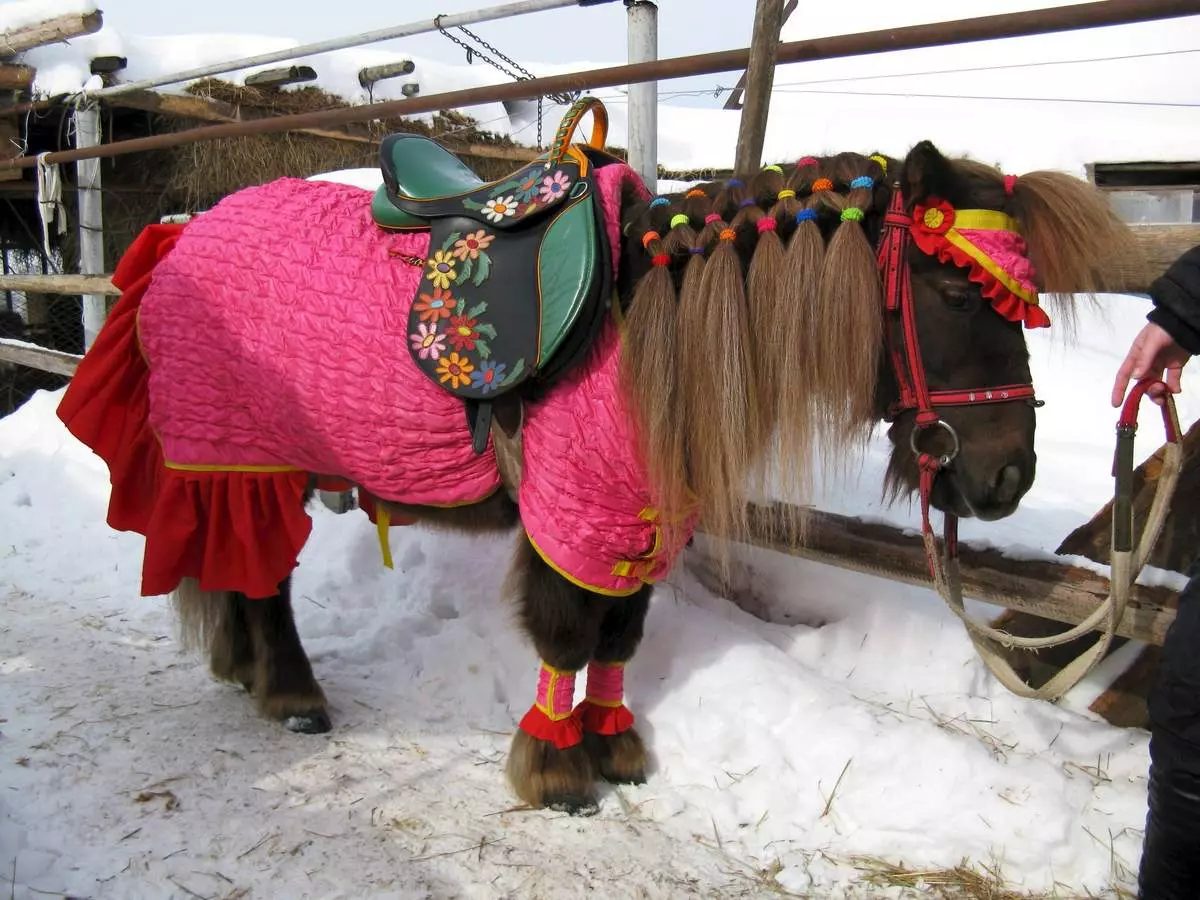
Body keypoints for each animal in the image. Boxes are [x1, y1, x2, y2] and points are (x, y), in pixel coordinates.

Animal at [56, 107, 1132, 816]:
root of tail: (180, 230)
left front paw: (615, 749)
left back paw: (246, 672)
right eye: (954, 293)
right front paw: (555, 770)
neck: (650, 340)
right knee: (263, 577)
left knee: (240, 575)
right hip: (245, 459)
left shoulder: (646, 519)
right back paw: (290, 692)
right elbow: (570, 637)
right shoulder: (582, 514)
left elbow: (621, 638)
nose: (1008, 479)